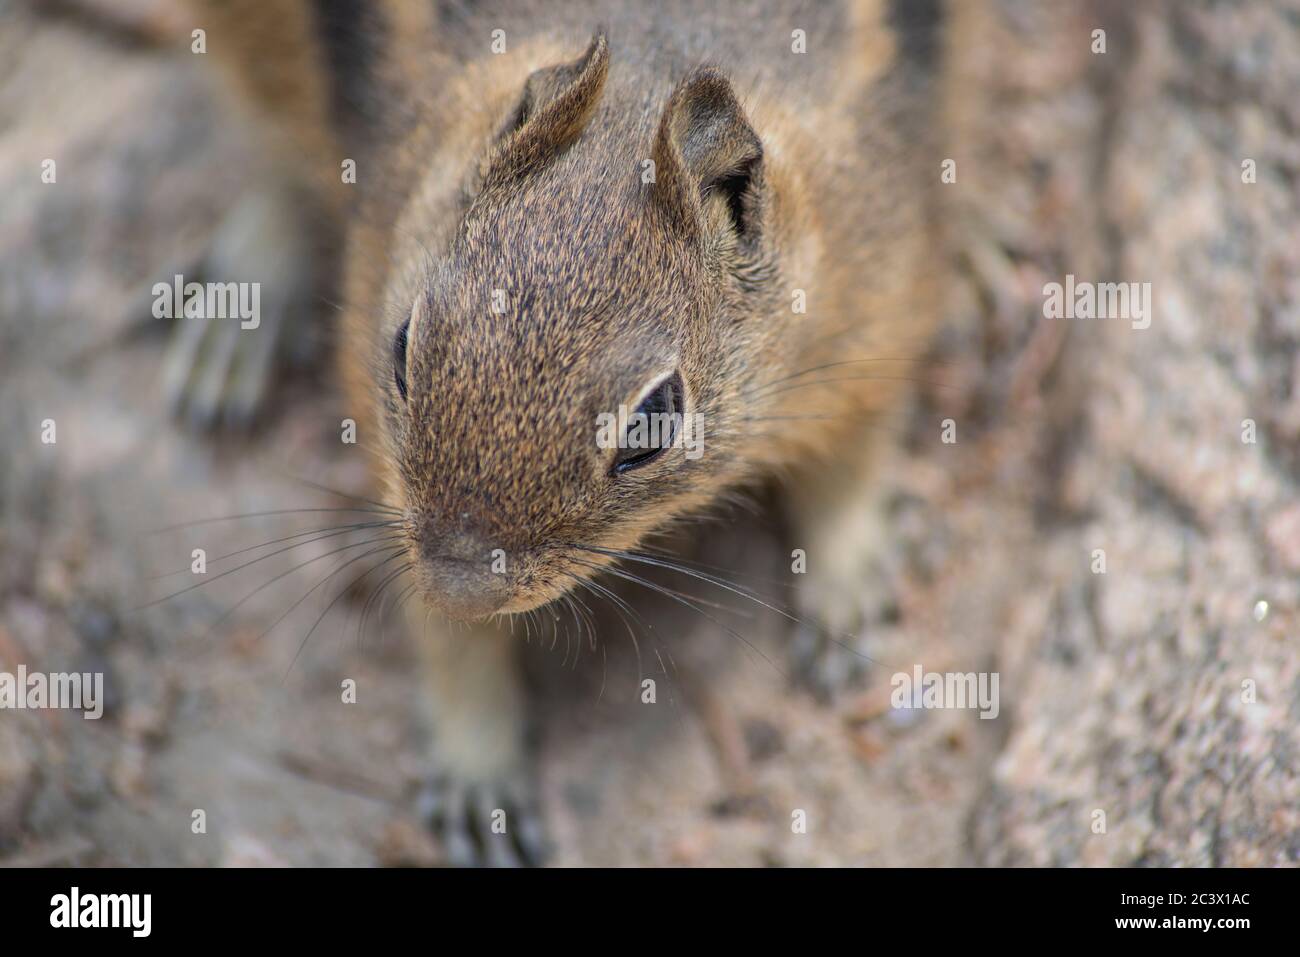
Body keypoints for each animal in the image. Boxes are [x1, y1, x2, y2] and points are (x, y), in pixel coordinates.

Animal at [166, 0, 950, 865]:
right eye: (403, 348)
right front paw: (477, 750)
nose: (460, 585)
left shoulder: (878, 292)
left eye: (654, 419)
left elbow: (855, 454)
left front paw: (847, 577)